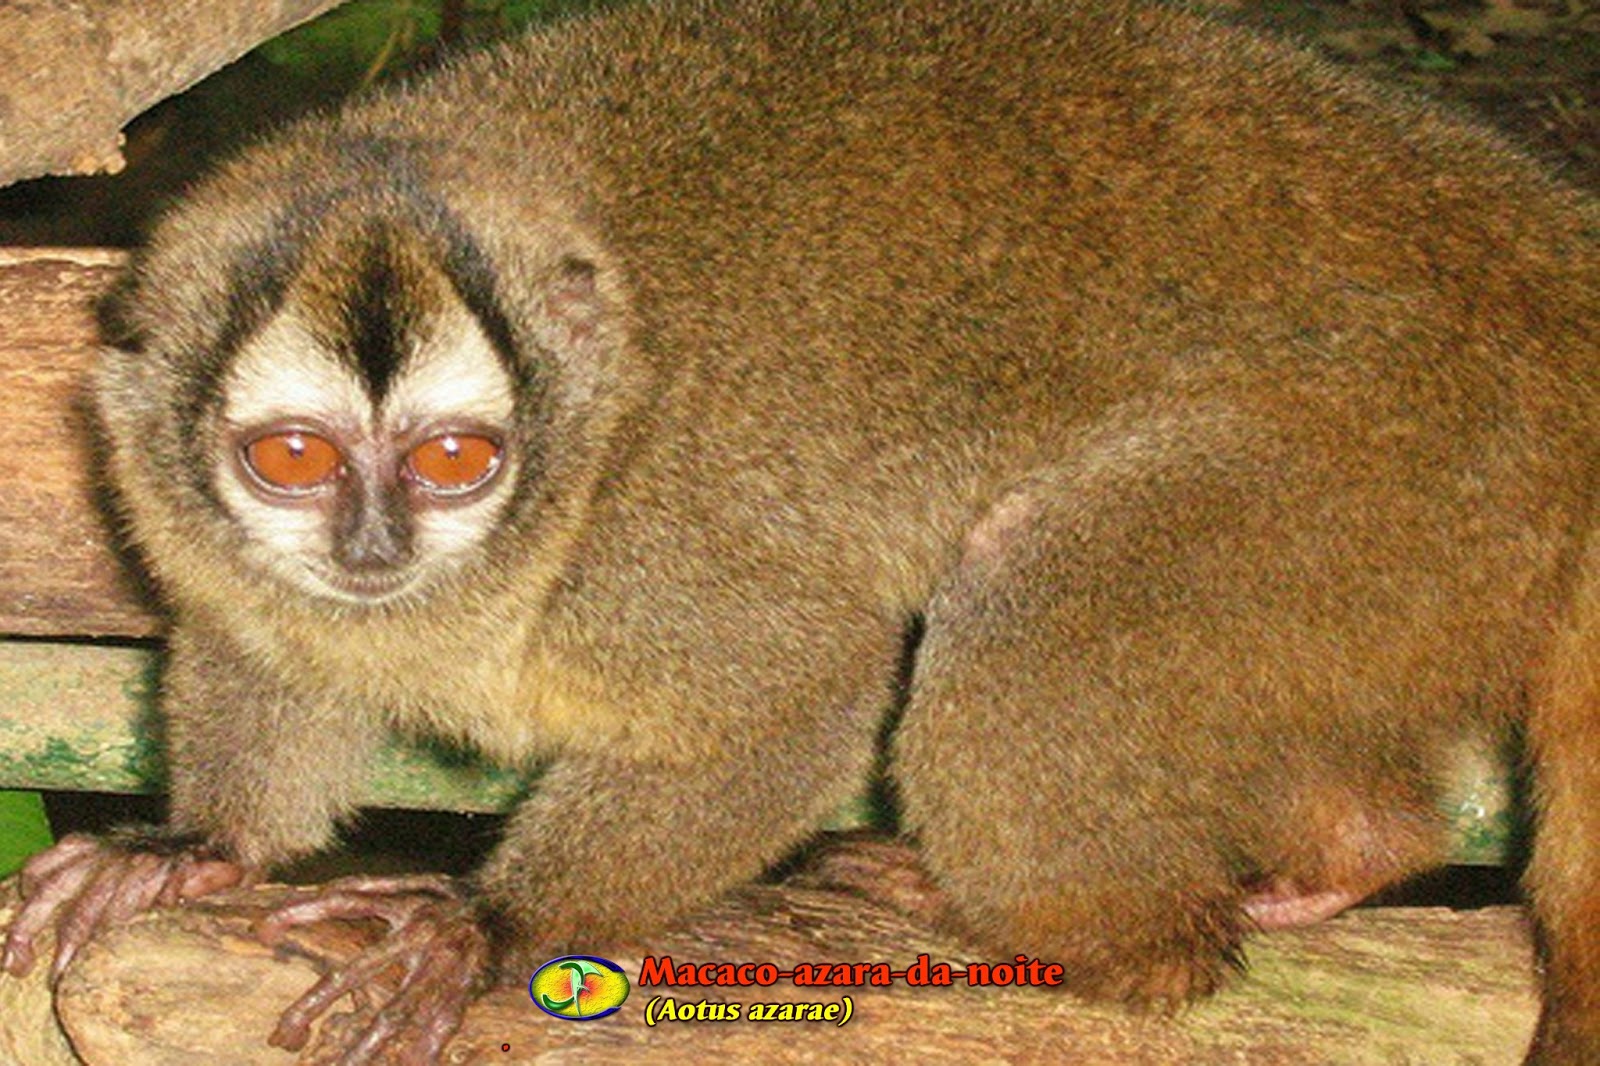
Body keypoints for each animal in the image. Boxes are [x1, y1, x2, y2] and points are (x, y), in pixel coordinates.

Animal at [2, 0, 1595, 1061]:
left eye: (454, 459)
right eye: (294, 459)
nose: (375, 549)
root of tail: (1546, 282)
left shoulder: (650, 551)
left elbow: (804, 701)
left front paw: (488, 926)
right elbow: (258, 646)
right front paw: (193, 849)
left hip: (1383, 464)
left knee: (1022, 609)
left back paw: (1090, 940)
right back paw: (1340, 860)